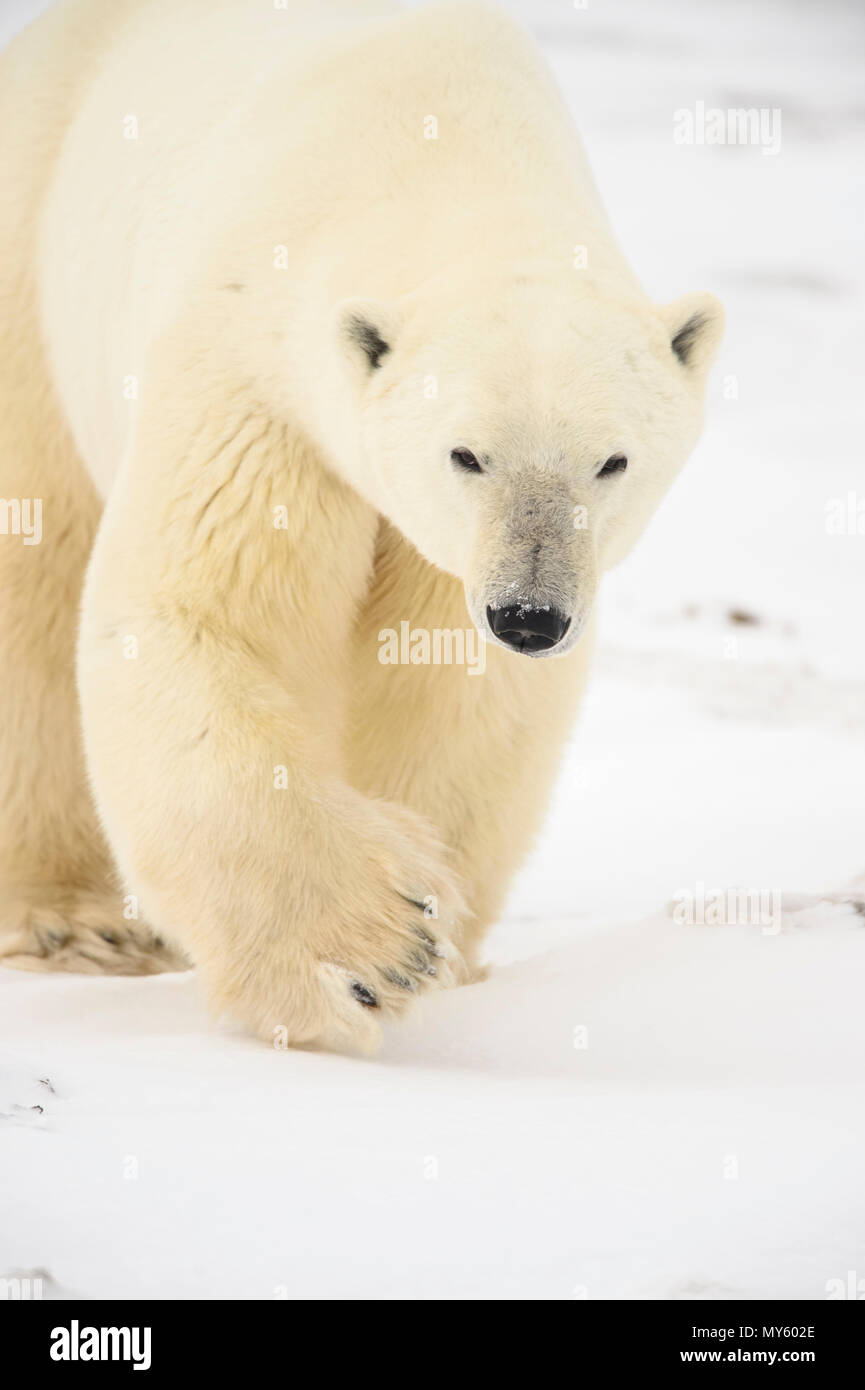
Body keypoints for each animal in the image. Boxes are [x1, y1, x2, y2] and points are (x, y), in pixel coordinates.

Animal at [0, 0, 723, 1051]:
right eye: (466, 454)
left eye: (611, 462)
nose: (530, 616)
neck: (436, 144)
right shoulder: (257, 376)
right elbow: (199, 618)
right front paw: (368, 950)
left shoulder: (447, 556)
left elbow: (451, 691)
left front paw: (441, 938)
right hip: (35, 254)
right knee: (36, 566)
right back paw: (69, 921)